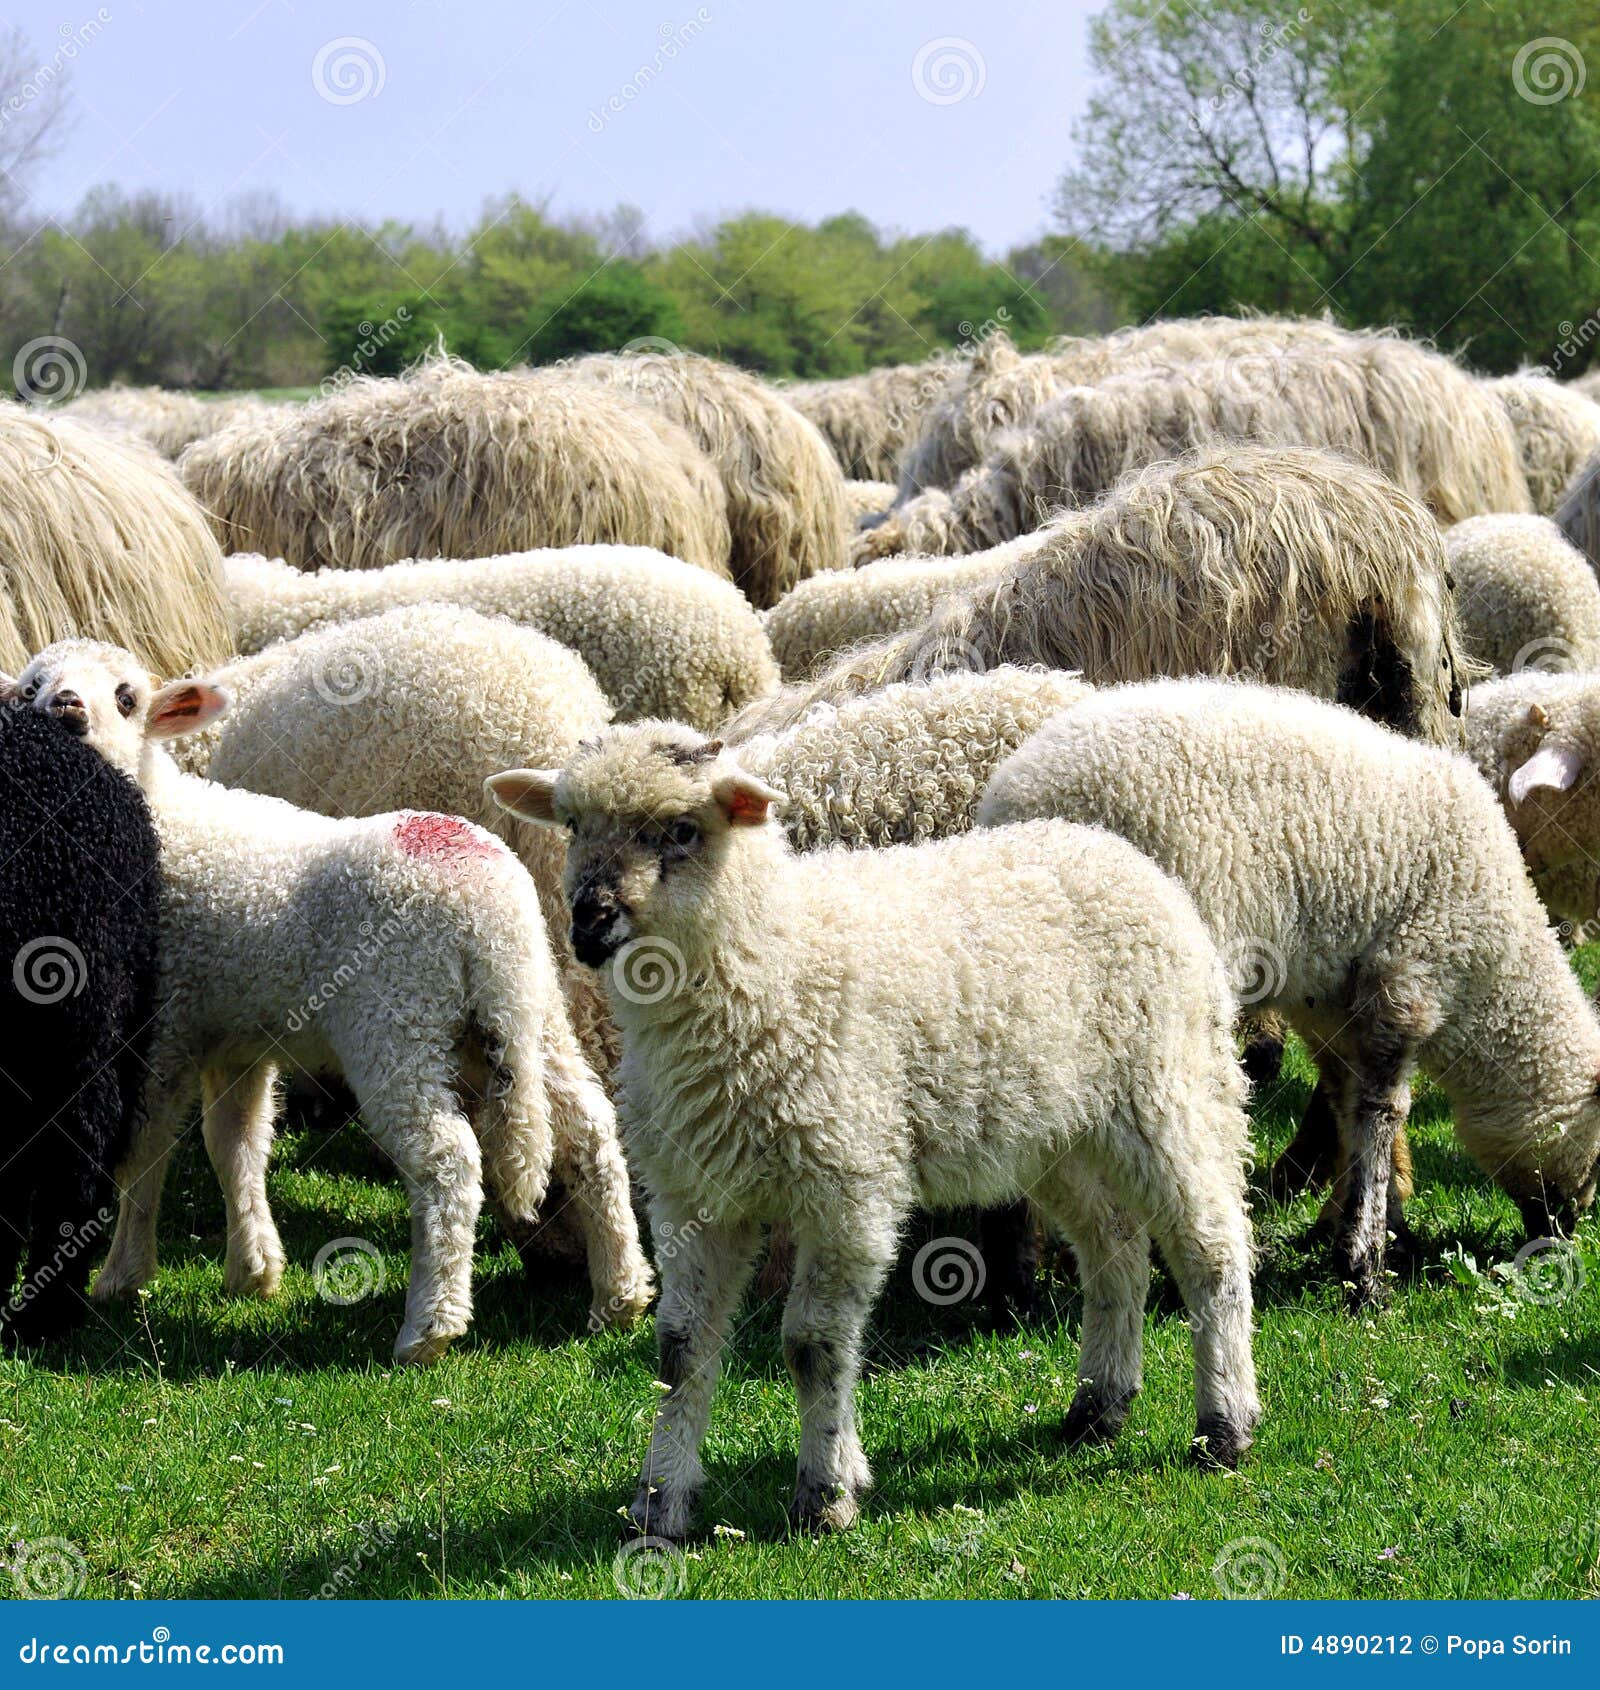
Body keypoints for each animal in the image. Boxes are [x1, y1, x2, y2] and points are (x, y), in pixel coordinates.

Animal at [487, 723, 1261, 1539]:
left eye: (681, 830)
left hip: (1166, 1090)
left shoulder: (847, 1186)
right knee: (1114, 1245)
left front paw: (824, 1493)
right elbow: (681, 1349)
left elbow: (813, 1344)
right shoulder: (695, 1196)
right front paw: (660, 1504)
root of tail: (1118, 854)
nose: (589, 918)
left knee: (1210, 1247)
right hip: (1058, 1131)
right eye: (573, 824)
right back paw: (1098, 1408)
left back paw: (1225, 1426)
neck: (770, 960)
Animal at [979, 678, 1600, 1306]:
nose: (1564, 1230)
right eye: (1598, 1156)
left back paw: (1017, 1276)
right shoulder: (1409, 979)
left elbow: (1347, 1104)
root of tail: (1018, 797)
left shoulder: (1335, 1006)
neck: (1496, 967)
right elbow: (1383, 1112)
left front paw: (1375, 1232)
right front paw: (1366, 1267)